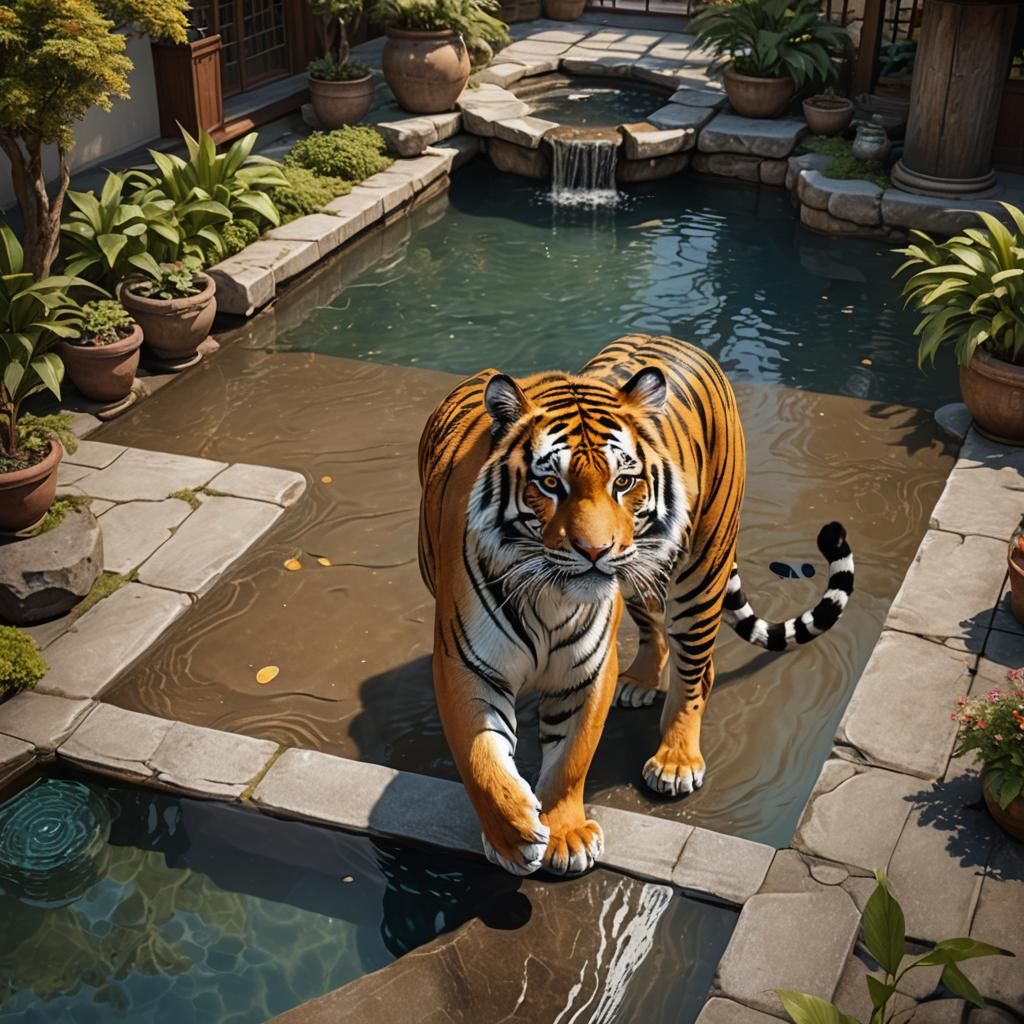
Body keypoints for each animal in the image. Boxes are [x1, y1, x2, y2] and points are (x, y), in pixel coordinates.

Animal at [417, 334, 854, 877]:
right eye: (550, 484)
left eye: (622, 482)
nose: (596, 551)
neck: (548, 596)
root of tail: (676, 339)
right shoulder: (467, 664)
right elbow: (480, 758)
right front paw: (514, 834)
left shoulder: (587, 668)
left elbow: (572, 756)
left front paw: (565, 833)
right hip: (643, 577)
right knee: (657, 635)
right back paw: (643, 681)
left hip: (701, 569)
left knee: (696, 669)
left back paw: (676, 760)